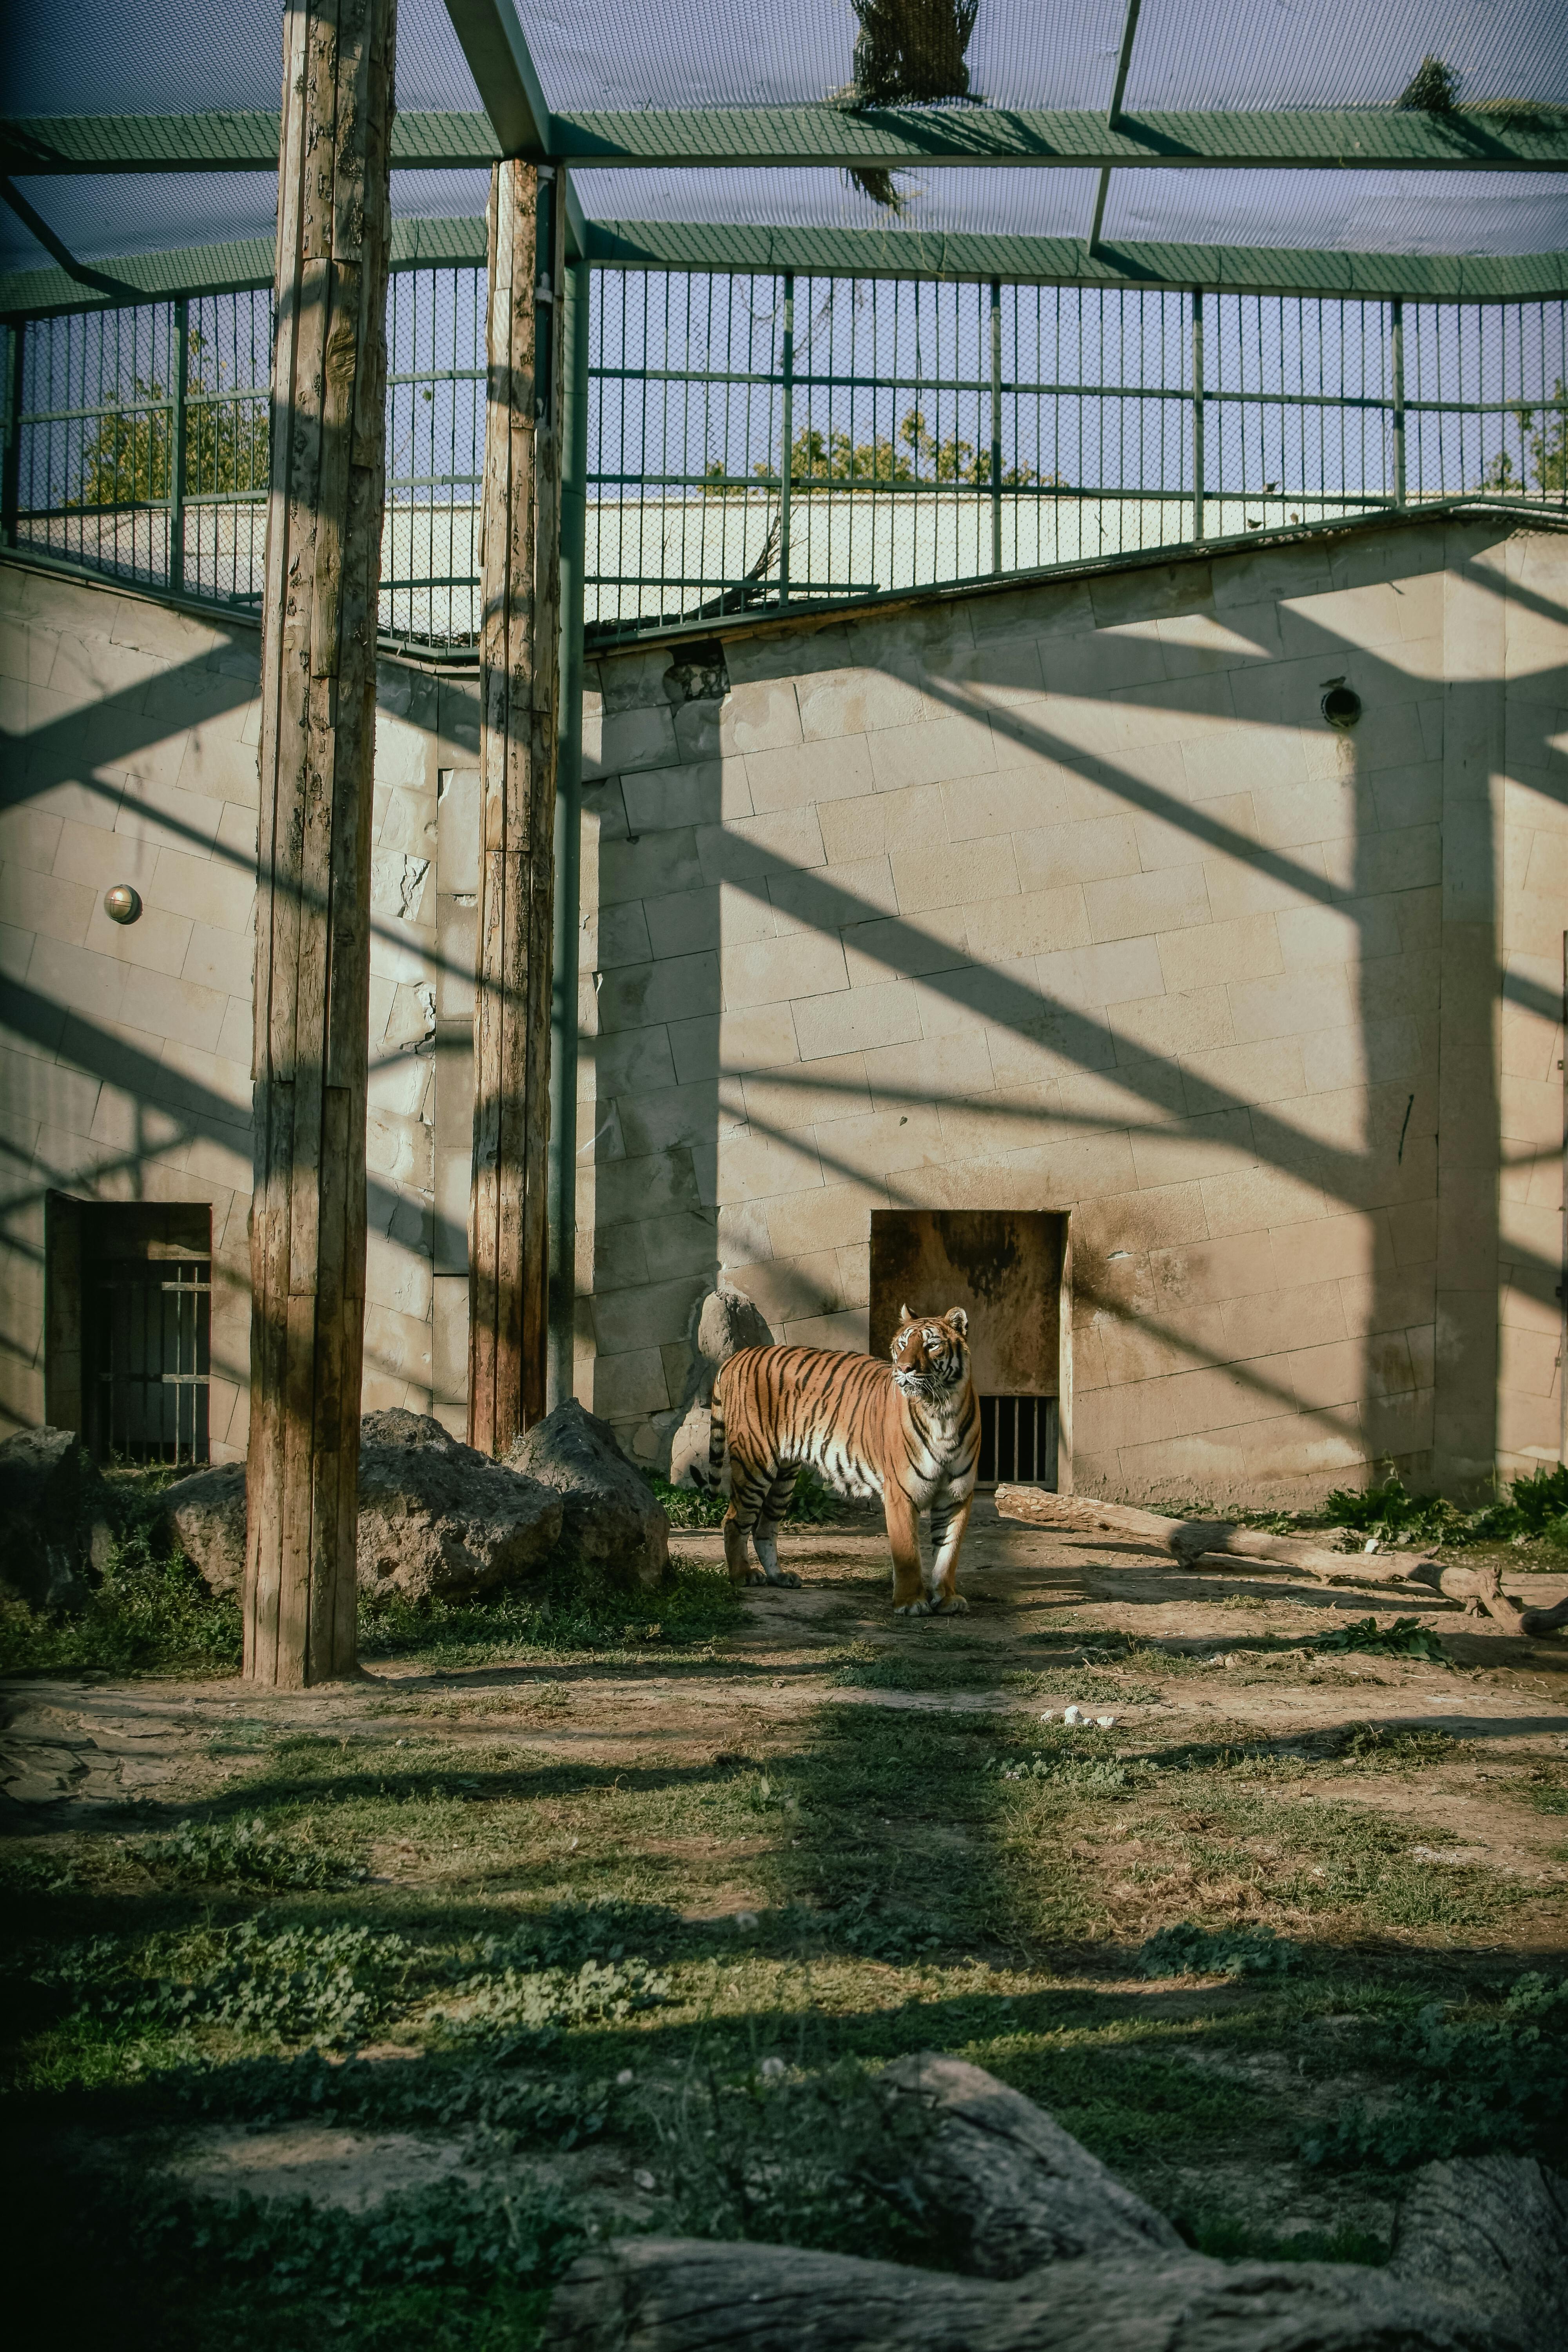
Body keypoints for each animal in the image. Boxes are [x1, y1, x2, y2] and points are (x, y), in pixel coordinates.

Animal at [707, 1306, 980, 1616]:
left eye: (932, 1345)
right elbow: (909, 1553)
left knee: (764, 1527)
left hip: (784, 1477)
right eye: (903, 1344)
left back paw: (780, 1577)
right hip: (754, 1463)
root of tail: (739, 1355)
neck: (942, 1411)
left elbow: (949, 1552)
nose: (904, 1369)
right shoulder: (900, 1493)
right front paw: (911, 1602)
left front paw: (947, 1598)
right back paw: (742, 1575)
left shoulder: (957, 1496)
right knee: (734, 1521)